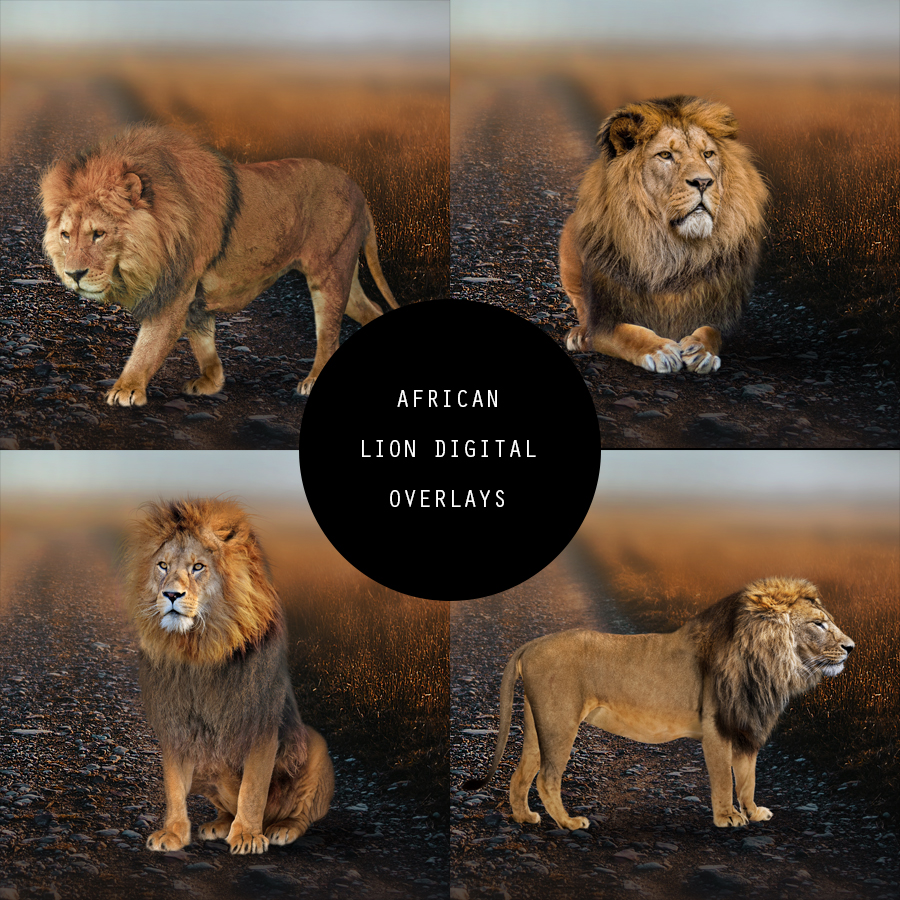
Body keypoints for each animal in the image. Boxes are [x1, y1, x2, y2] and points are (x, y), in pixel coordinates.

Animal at [40, 125, 398, 406]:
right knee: (371, 309)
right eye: (66, 235)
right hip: (344, 273)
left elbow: (149, 345)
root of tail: (360, 192)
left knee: (328, 333)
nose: (73, 275)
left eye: (98, 234)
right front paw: (211, 382)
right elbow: (203, 341)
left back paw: (311, 381)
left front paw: (127, 389)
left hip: (329, 271)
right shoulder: (195, 296)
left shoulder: (175, 290)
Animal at [123, 498, 334, 854]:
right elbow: (174, 786)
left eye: (198, 567)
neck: (199, 651)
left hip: (316, 745)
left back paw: (280, 828)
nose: (170, 595)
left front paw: (248, 836)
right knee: (223, 804)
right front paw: (173, 833)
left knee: (300, 814)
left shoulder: (261, 722)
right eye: (162, 566)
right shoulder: (176, 725)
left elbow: (252, 788)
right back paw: (218, 825)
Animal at [465, 577, 853, 829]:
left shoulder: (745, 724)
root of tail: (530, 644)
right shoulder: (717, 728)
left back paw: (524, 818)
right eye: (819, 624)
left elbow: (748, 778)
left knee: (521, 772)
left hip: (538, 721)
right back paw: (569, 823)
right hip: (560, 721)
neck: (770, 665)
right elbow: (724, 779)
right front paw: (728, 818)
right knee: (547, 777)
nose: (851, 647)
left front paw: (754, 812)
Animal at [559, 95, 768, 374]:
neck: (672, 249)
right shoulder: (606, 318)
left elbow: (711, 331)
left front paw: (701, 351)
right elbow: (627, 333)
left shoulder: (718, 309)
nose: (703, 182)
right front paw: (659, 350)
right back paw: (579, 335)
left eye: (708, 154)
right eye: (666, 155)